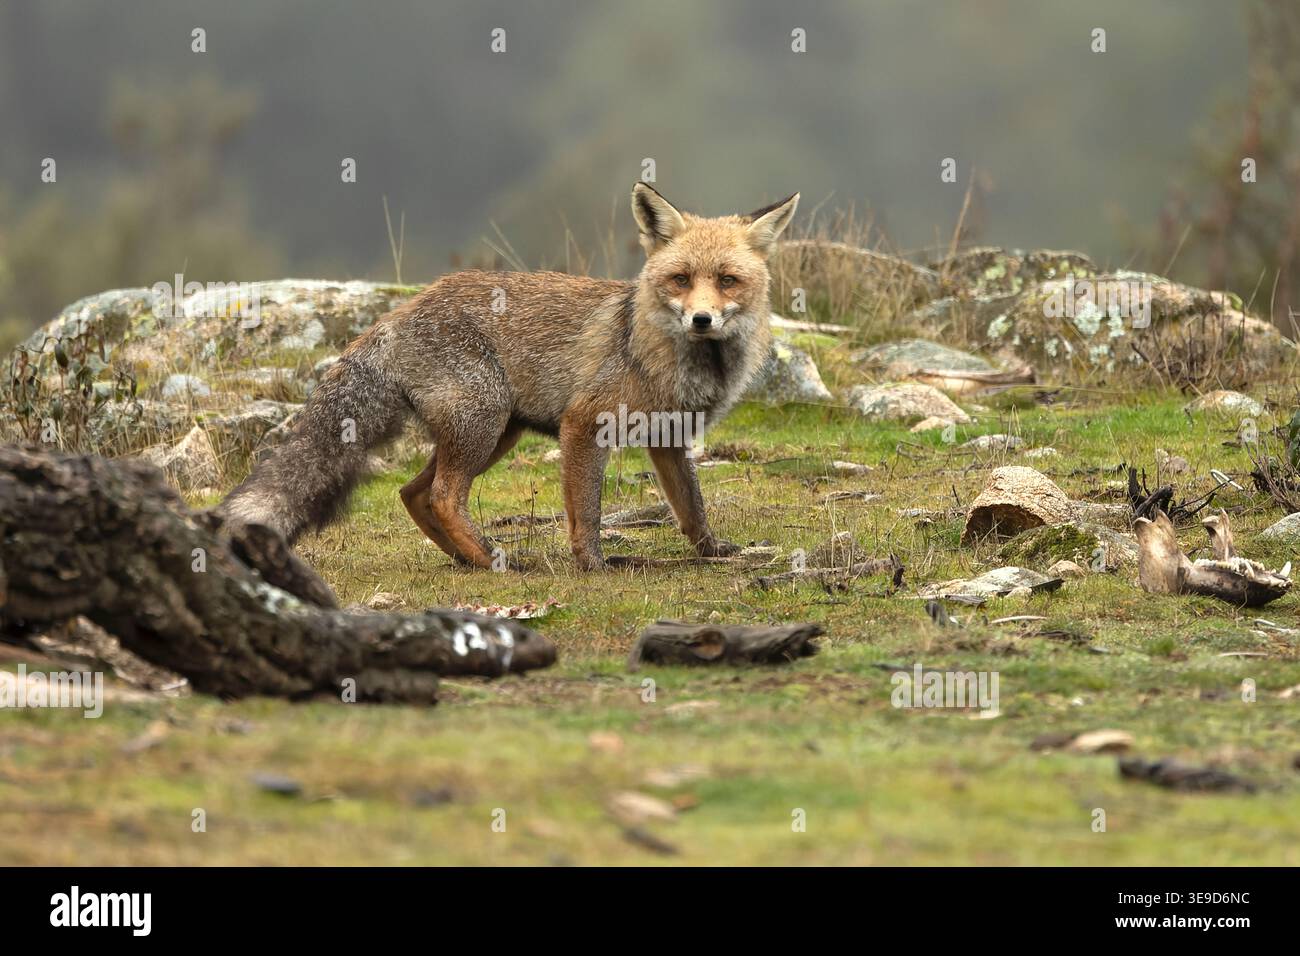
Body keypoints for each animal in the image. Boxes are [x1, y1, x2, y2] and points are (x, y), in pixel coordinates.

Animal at [219, 183, 799, 570]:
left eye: (727, 280)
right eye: (681, 279)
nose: (701, 319)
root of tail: (398, 314)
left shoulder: (669, 437)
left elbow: (692, 507)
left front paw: (713, 551)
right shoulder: (584, 424)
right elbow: (586, 512)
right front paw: (593, 565)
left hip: (498, 431)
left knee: (412, 492)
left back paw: (470, 559)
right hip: (485, 421)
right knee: (442, 495)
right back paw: (490, 556)